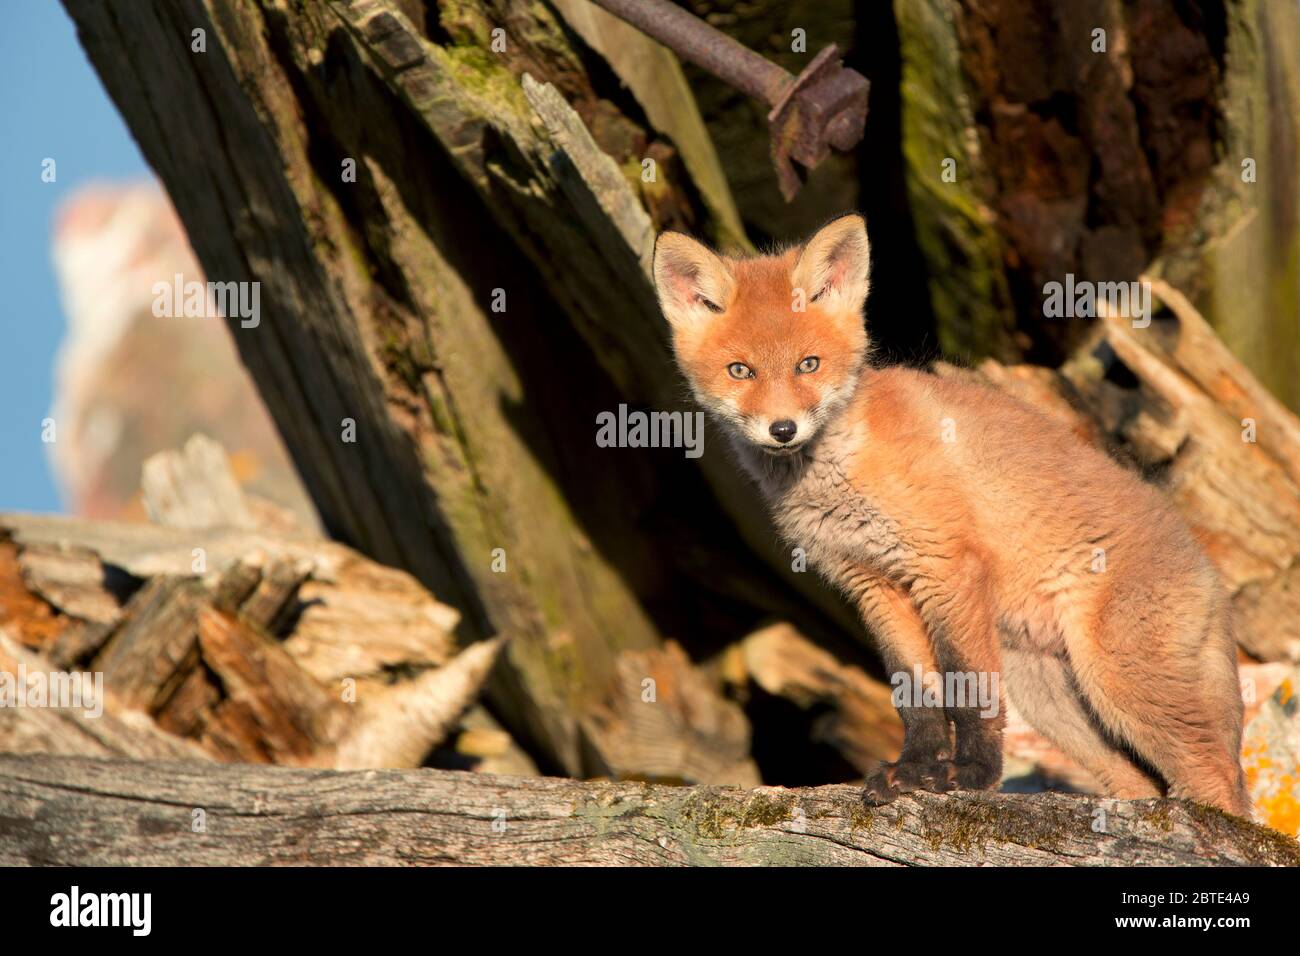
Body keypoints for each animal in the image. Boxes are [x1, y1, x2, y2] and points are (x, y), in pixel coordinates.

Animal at [653, 214, 1251, 817]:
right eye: (740, 371)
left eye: (808, 365)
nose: (783, 430)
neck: (845, 471)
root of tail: (1208, 566)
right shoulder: (874, 585)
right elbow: (916, 694)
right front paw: (915, 770)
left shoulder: (945, 568)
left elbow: (968, 692)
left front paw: (972, 775)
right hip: (1054, 701)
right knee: (1140, 783)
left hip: (1118, 682)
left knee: (1217, 777)